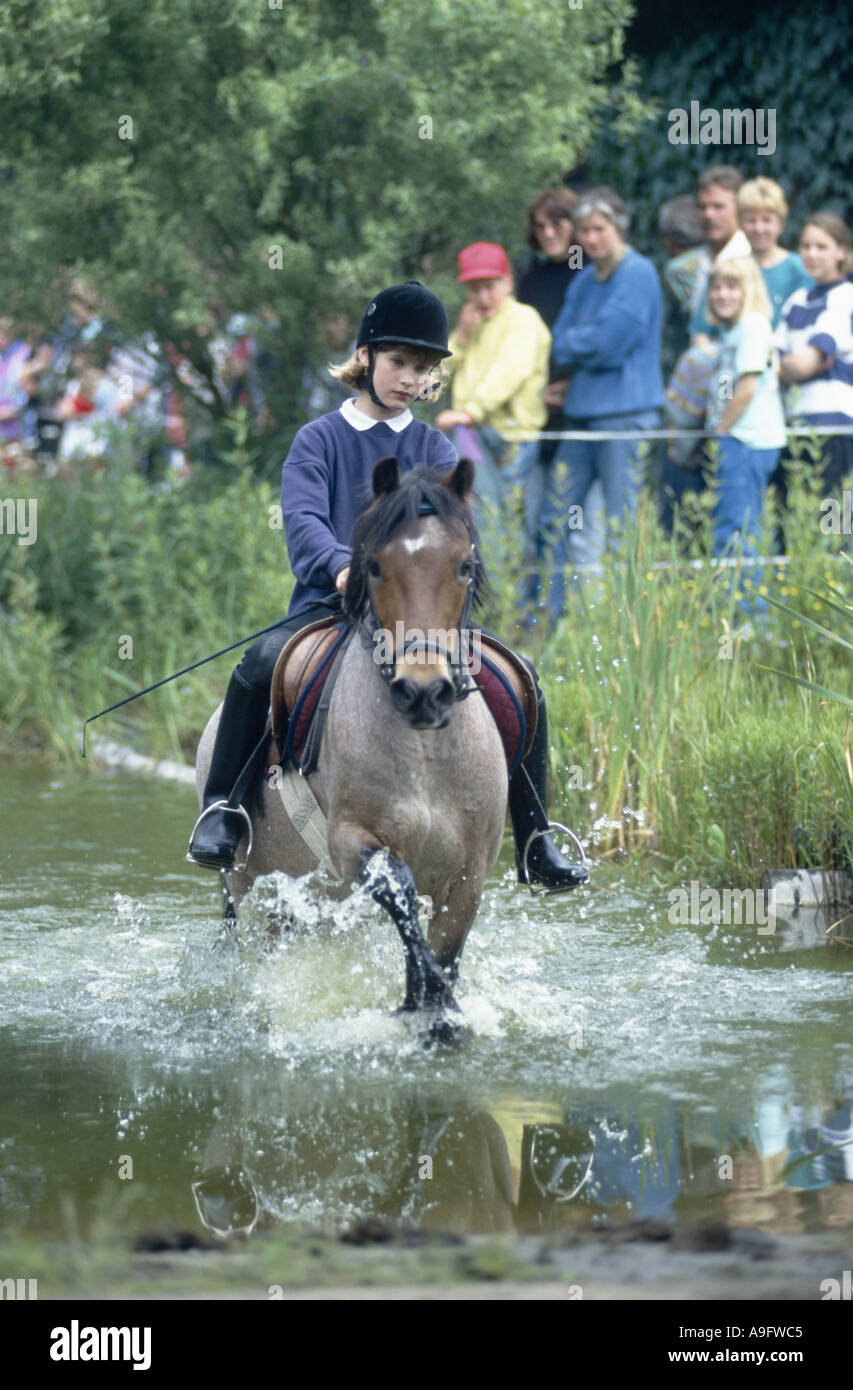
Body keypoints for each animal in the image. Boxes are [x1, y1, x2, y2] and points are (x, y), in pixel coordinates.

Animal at [195, 457, 507, 1035]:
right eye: (376, 567)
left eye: (465, 566)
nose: (423, 691)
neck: (423, 755)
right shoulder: (351, 841)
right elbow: (398, 888)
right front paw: (428, 1001)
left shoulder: (468, 877)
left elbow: (441, 952)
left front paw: (434, 1009)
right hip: (253, 891)